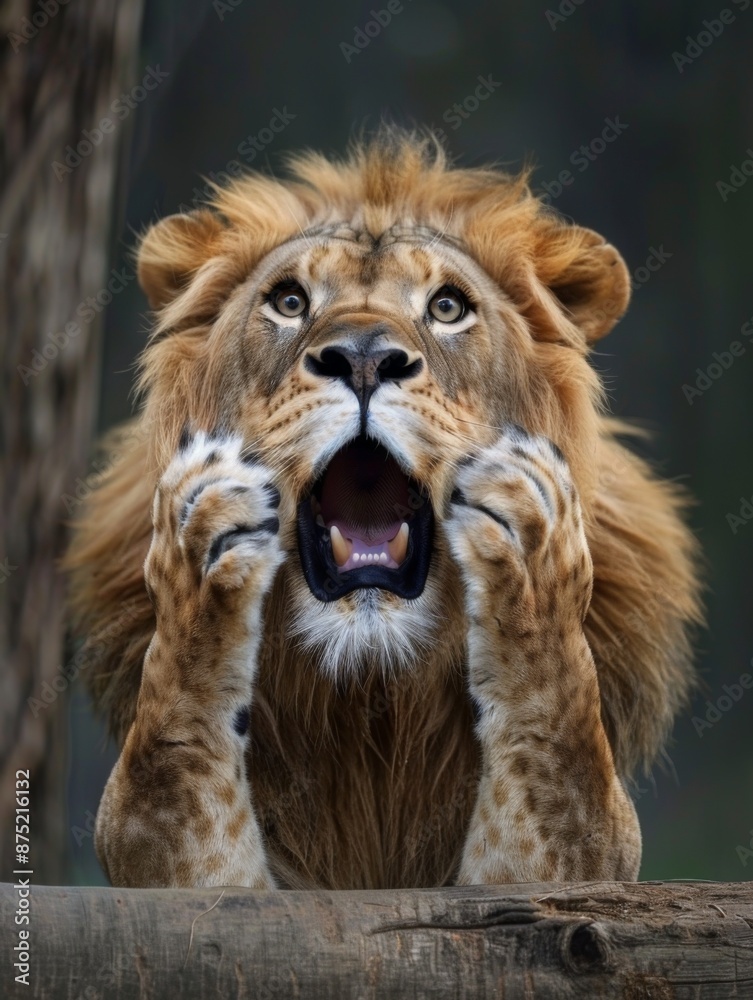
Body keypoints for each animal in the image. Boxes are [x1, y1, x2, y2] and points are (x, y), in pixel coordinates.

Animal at [65, 128, 702, 890]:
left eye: (448, 307)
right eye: (288, 301)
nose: (364, 357)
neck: (373, 701)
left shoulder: (582, 859)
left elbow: (552, 741)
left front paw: (533, 549)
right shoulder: (164, 860)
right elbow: (177, 750)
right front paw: (201, 542)